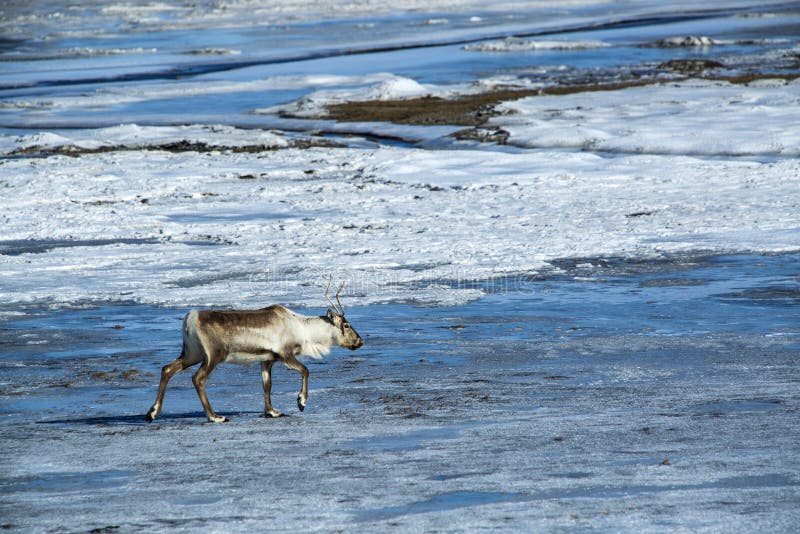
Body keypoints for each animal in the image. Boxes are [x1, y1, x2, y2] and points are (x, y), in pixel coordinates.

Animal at [145, 277, 363, 423]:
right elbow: (305, 370)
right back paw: (215, 417)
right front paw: (301, 402)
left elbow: (267, 385)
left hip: (192, 353)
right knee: (198, 378)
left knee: (167, 369)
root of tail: (190, 319)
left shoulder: (266, 359)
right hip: (213, 355)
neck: (303, 330)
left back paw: (152, 413)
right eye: (346, 325)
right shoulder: (286, 354)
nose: (360, 341)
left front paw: (272, 412)